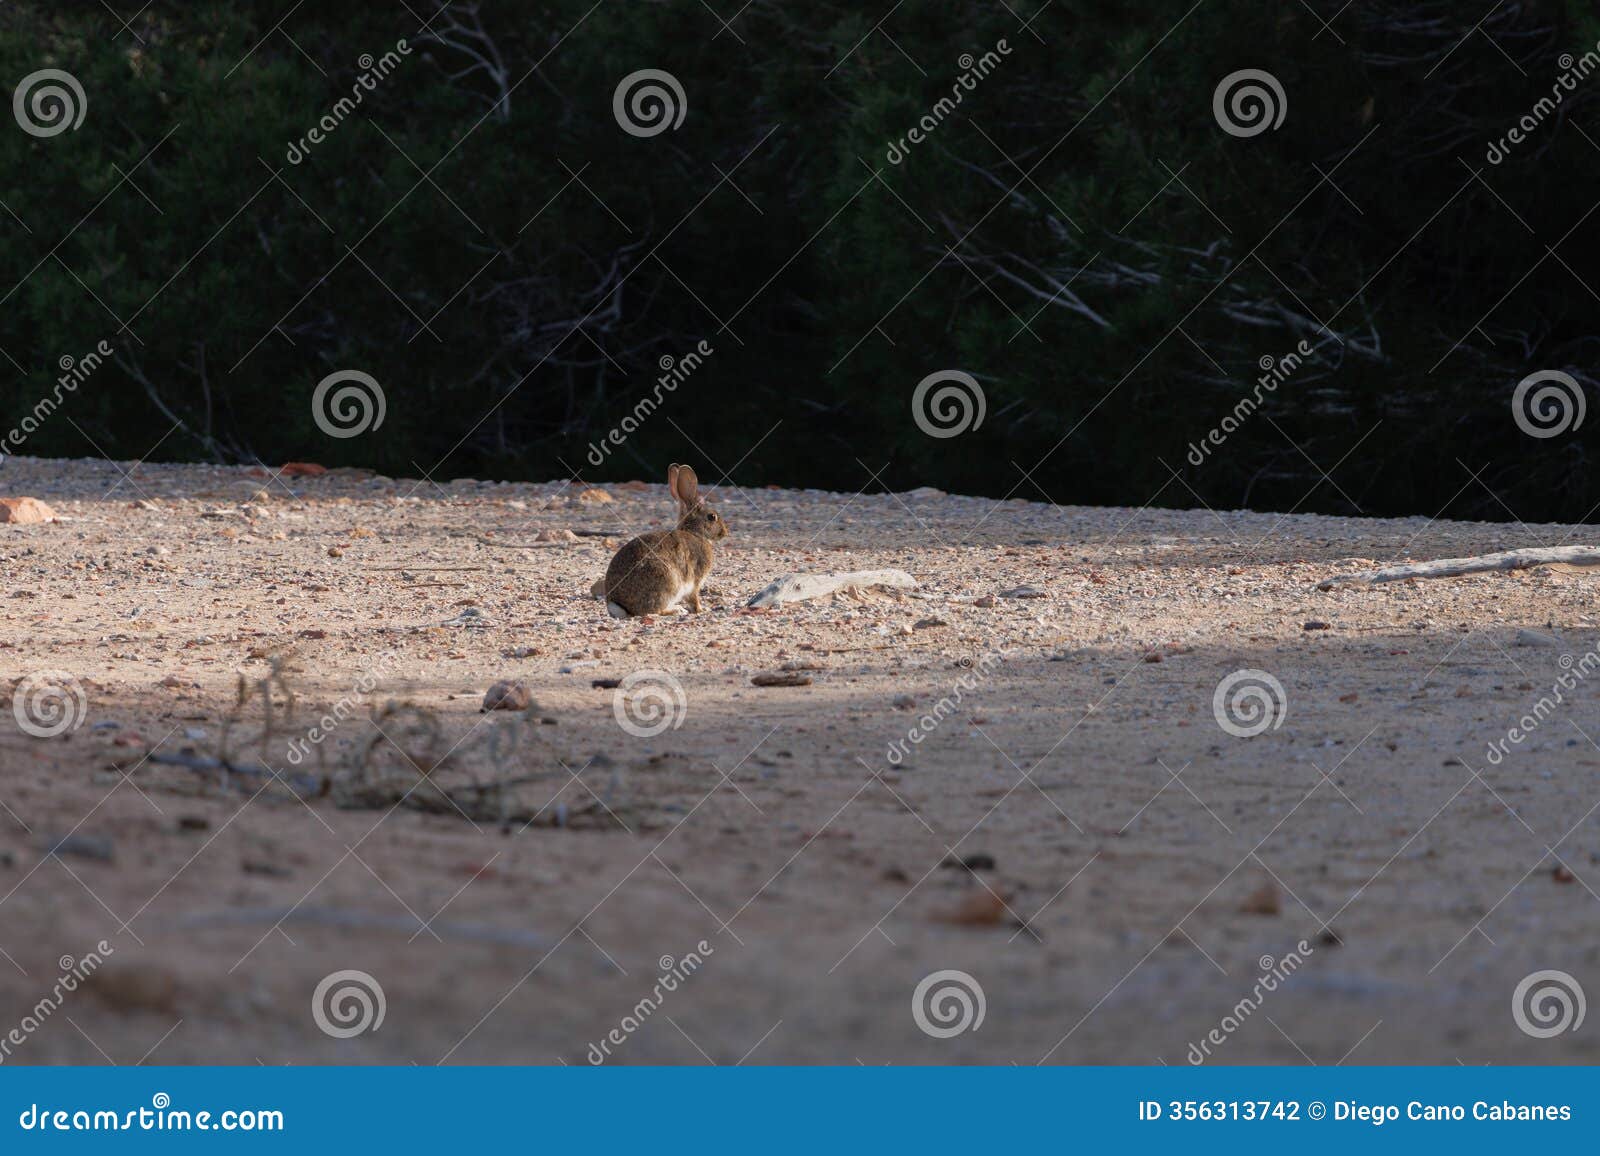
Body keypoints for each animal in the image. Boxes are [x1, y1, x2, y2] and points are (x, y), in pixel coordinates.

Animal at [602, 463, 727, 618]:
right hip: (668, 581)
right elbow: (694, 597)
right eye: (712, 517)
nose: (724, 532)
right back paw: (677, 609)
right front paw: (702, 609)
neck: (696, 533)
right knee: (654, 610)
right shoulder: (695, 581)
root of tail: (618, 604)